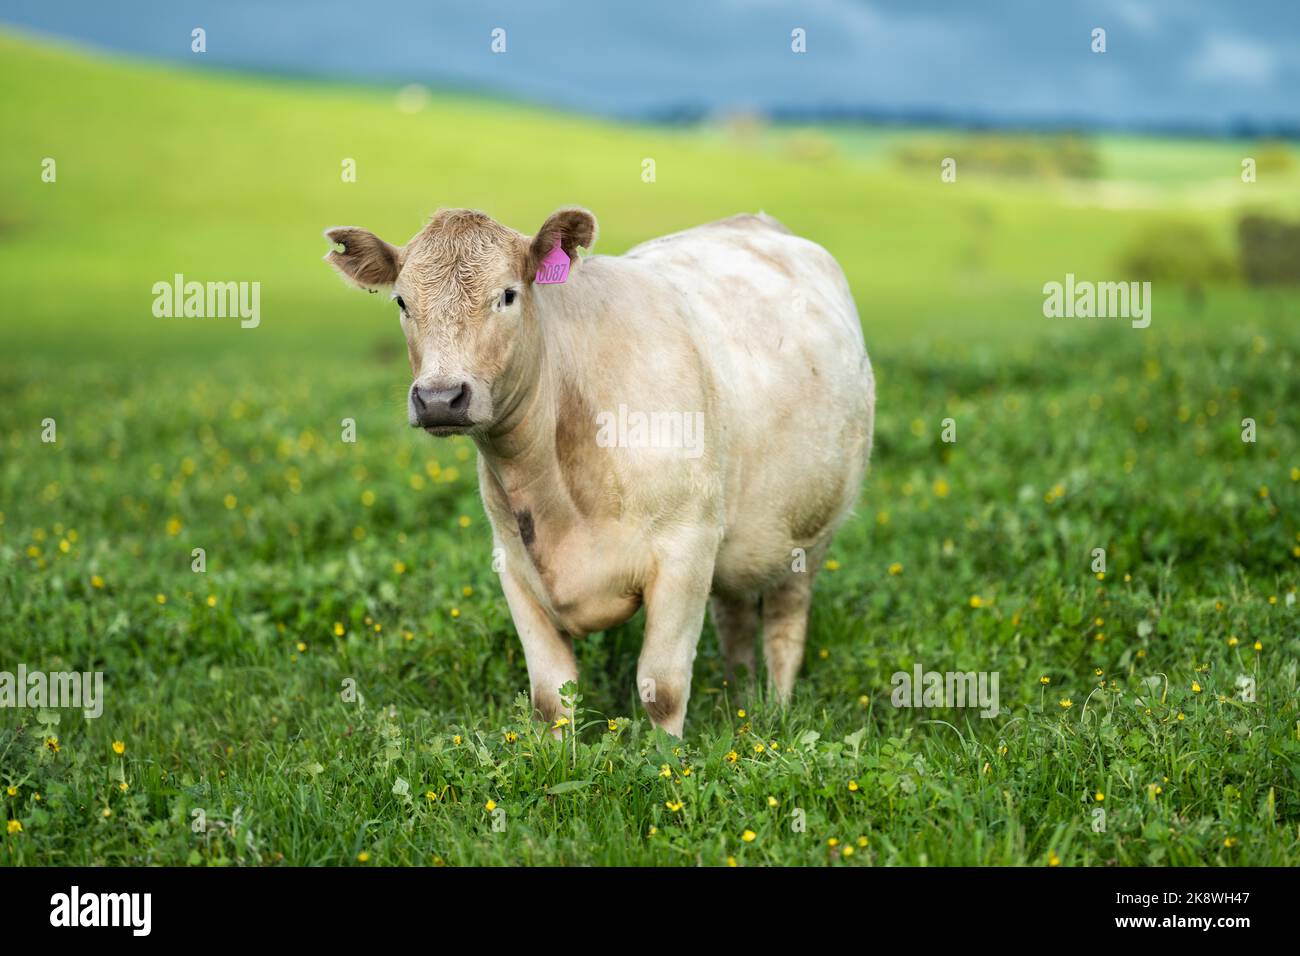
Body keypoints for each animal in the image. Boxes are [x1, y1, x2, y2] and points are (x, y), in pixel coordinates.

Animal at [324, 207, 874, 736]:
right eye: (402, 302)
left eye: (507, 295)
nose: (440, 398)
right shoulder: (513, 564)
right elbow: (551, 697)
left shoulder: (686, 547)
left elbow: (662, 686)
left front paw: (666, 762)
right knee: (735, 618)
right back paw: (740, 704)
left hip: (810, 533)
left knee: (785, 627)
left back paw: (776, 711)